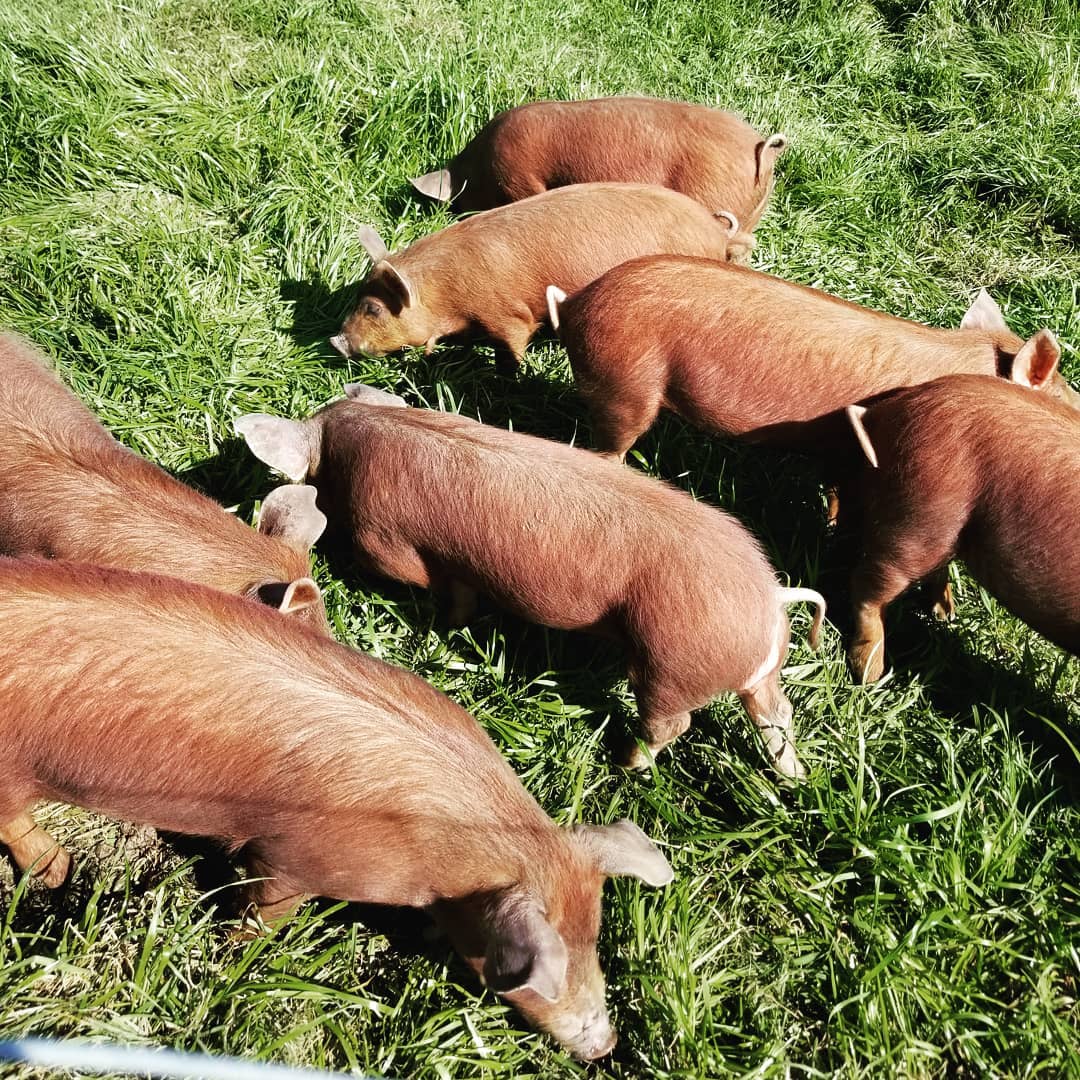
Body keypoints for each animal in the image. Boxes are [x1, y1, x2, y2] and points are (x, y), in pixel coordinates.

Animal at [0, 556, 673, 1060]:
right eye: (537, 975)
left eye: (595, 935)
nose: (606, 1045)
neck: (451, 853)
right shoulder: (295, 858)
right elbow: (265, 909)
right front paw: (235, 953)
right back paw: (58, 871)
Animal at [235, 387, 826, 780]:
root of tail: (771, 596)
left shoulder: (390, 542)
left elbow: (435, 586)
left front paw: (438, 629)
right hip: (755, 672)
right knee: (777, 713)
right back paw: (793, 779)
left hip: (672, 665)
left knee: (671, 724)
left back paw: (626, 764)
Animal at [330, 183, 748, 373]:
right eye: (357, 301)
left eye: (373, 309)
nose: (335, 341)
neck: (445, 295)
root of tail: (717, 234)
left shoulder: (509, 315)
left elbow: (513, 345)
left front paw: (512, 373)